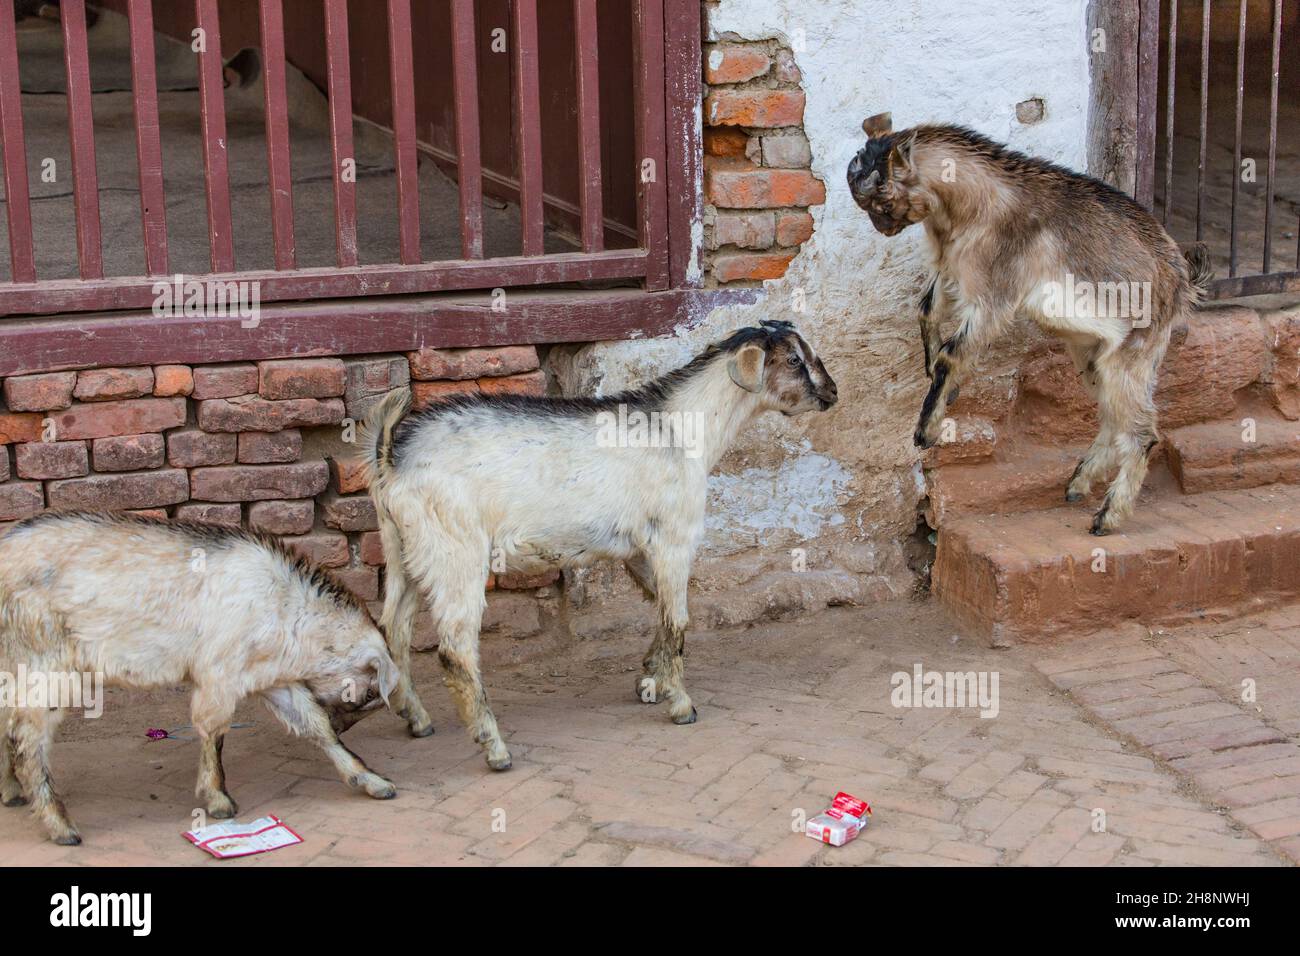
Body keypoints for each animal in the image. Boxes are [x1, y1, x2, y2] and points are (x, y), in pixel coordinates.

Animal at [0, 512, 401, 845]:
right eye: (369, 694)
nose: (347, 723)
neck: (286, 605)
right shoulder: (220, 673)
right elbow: (213, 731)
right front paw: (219, 800)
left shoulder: (270, 676)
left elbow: (315, 726)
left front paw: (372, 781)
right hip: (43, 657)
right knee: (30, 738)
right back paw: (59, 824)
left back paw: (12, 791)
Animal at [361, 321, 837, 770]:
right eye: (794, 360)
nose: (832, 392)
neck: (680, 430)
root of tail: (393, 458)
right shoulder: (674, 539)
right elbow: (679, 618)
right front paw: (680, 704)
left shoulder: (641, 551)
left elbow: (661, 609)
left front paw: (651, 680)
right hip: (456, 551)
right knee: (455, 648)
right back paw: (494, 747)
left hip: (404, 549)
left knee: (395, 627)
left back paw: (416, 717)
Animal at [848, 116, 1210, 534]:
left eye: (883, 200)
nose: (882, 228)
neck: (972, 202)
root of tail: (1181, 282)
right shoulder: (953, 272)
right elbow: (927, 311)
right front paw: (942, 383)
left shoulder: (994, 293)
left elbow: (953, 353)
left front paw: (927, 429)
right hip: (1094, 355)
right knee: (1112, 420)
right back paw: (1078, 483)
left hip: (1133, 355)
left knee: (1141, 432)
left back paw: (1107, 515)